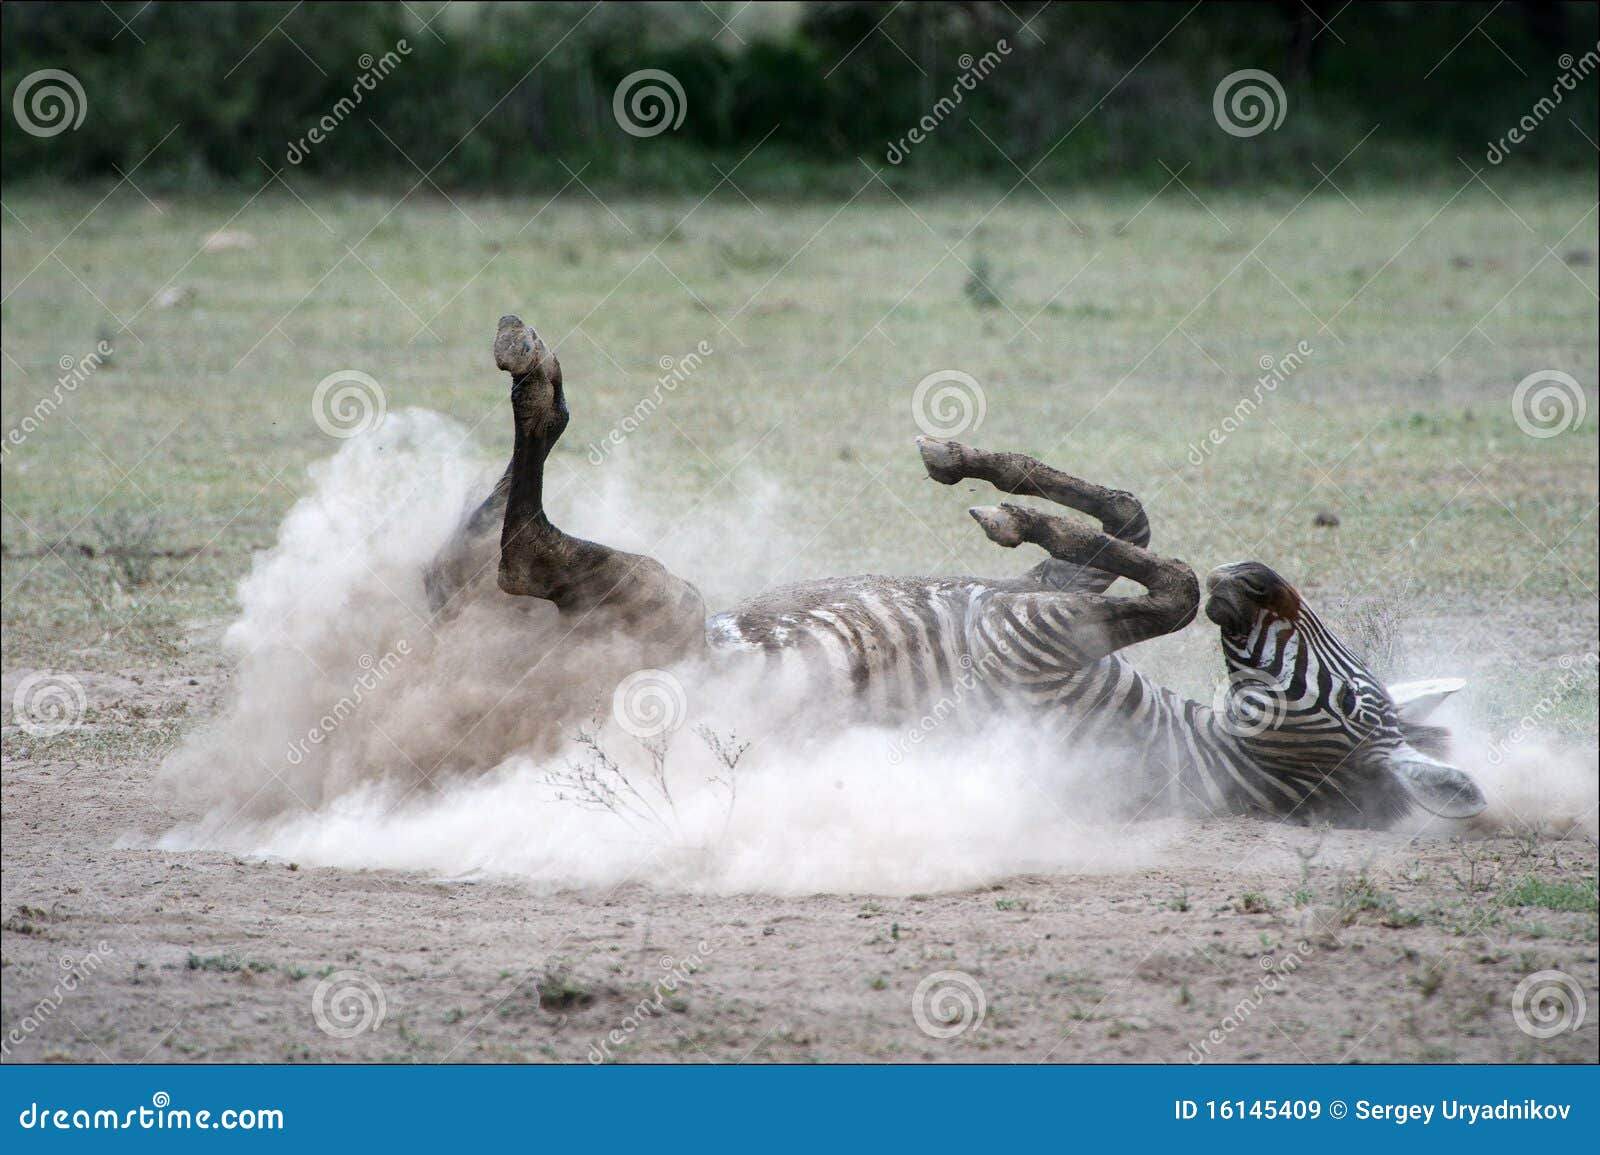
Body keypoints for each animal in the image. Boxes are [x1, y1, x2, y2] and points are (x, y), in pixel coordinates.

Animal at [432, 314, 1485, 829]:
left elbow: (1175, 582)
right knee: (457, 565)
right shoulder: (1036, 602)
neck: (1188, 743)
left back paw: (534, 373)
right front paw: (991, 480)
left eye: (1350, 700)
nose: (1259, 573)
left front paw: (1006, 506)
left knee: (519, 551)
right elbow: (1132, 519)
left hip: (661, 611)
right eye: (1355, 672)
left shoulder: (1029, 642)